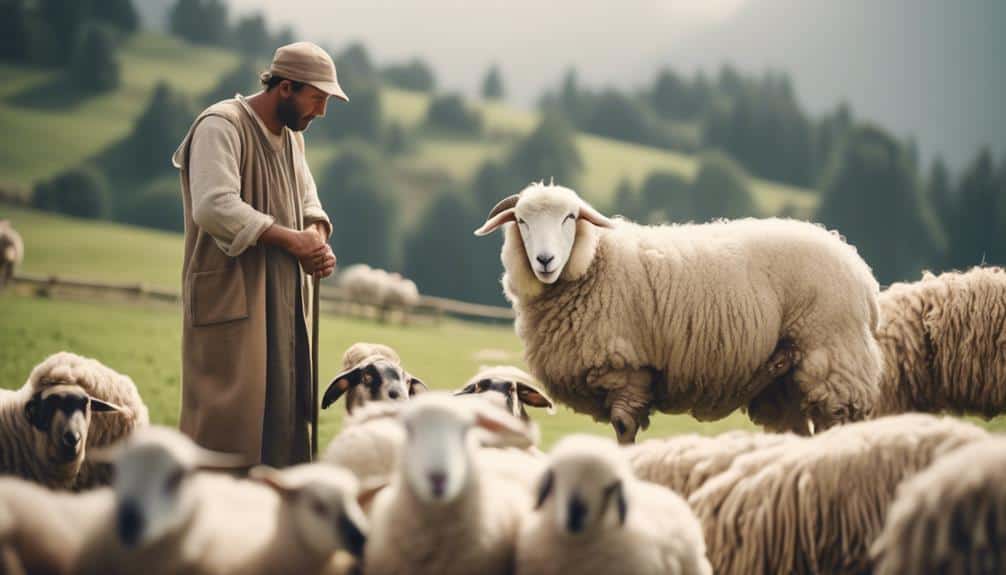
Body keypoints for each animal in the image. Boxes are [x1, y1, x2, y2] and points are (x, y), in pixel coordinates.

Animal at [474, 182, 880, 442]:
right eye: (522, 221)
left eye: (570, 218)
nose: (545, 260)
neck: (593, 261)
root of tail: (861, 269)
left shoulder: (626, 370)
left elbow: (624, 431)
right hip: (784, 382)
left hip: (835, 359)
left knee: (839, 422)